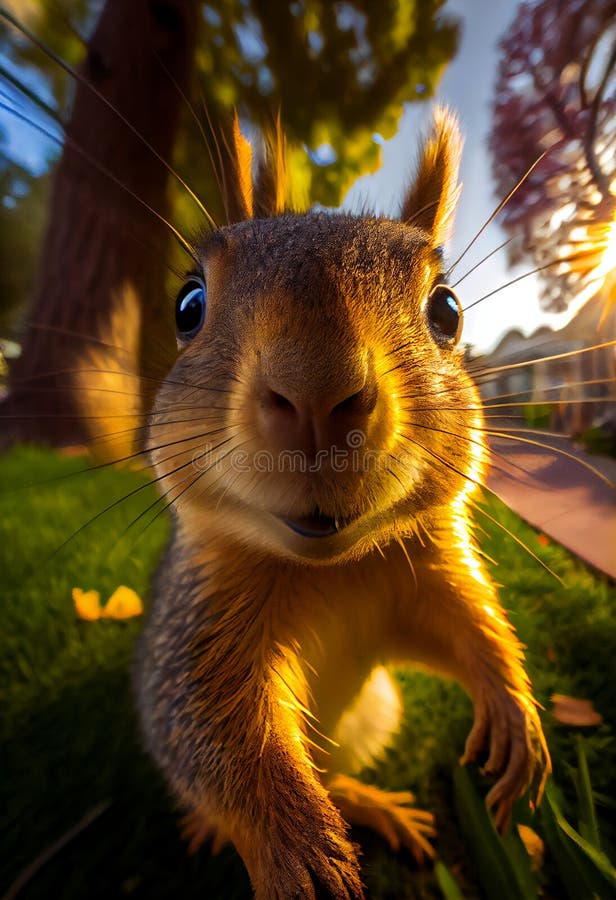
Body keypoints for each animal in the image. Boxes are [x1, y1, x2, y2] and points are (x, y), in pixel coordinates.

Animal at [134, 108, 551, 899]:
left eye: (447, 311)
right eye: (187, 306)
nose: (316, 390)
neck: (333, 567)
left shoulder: (427, 575)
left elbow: (473, 628)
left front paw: (516, 714)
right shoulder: (196, 624)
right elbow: (216, 736)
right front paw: (295, 846)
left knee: (333, 775)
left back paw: (372, 806)